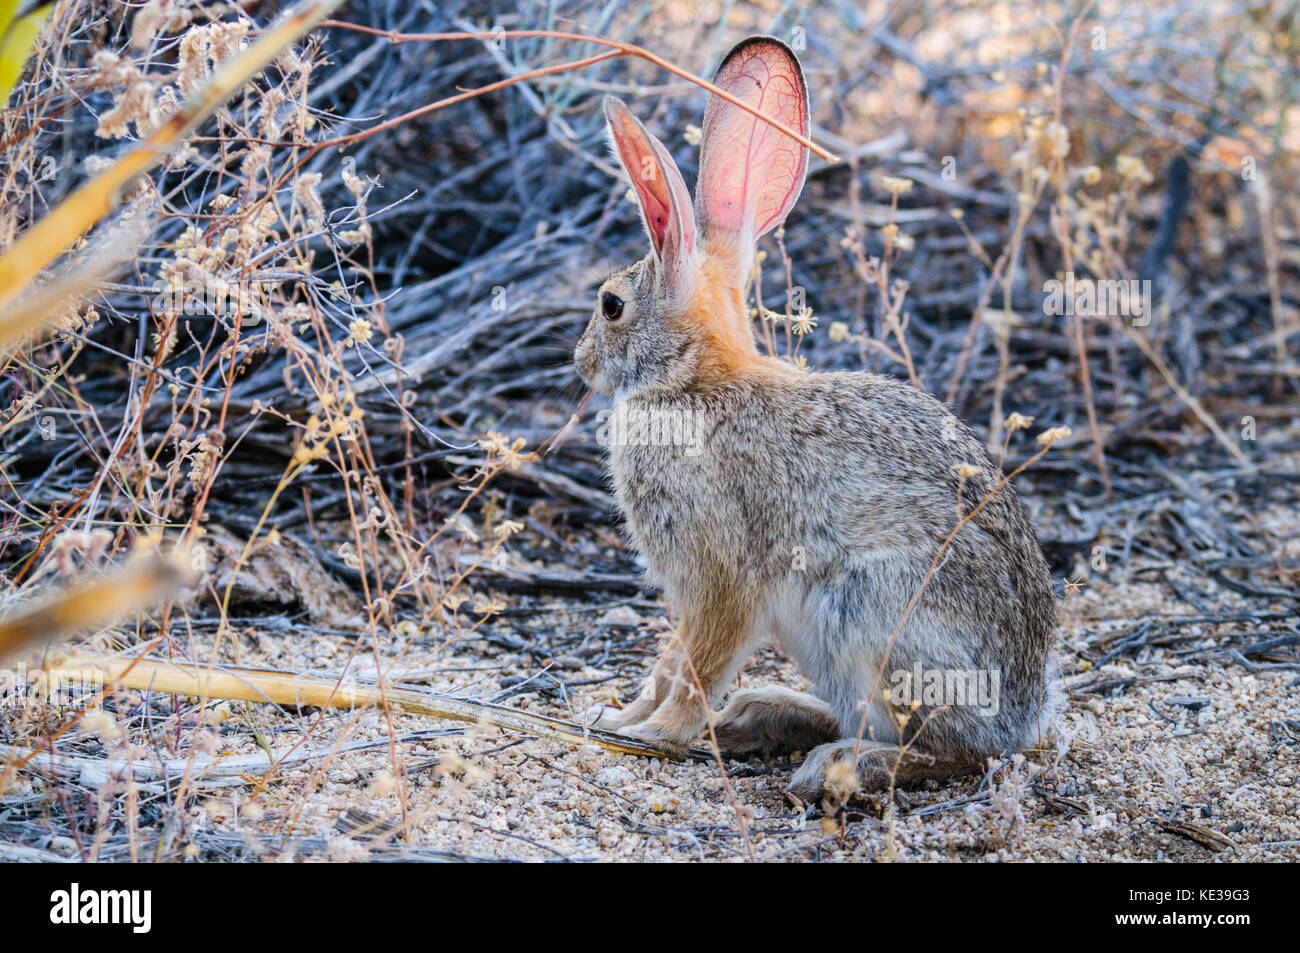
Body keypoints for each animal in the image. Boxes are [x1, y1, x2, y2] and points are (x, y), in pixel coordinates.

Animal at [575, 36, 1059, 801]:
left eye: (612, 305)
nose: (581, 360)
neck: (694, 380)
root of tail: (1024, 715)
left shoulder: (721, 575)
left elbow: (697, 664)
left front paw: (654, 733)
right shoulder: (691, 590)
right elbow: (670, 660)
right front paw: (619, 714)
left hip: (873, 621)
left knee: (950, 753)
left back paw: (835, 765)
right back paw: (763, 713)